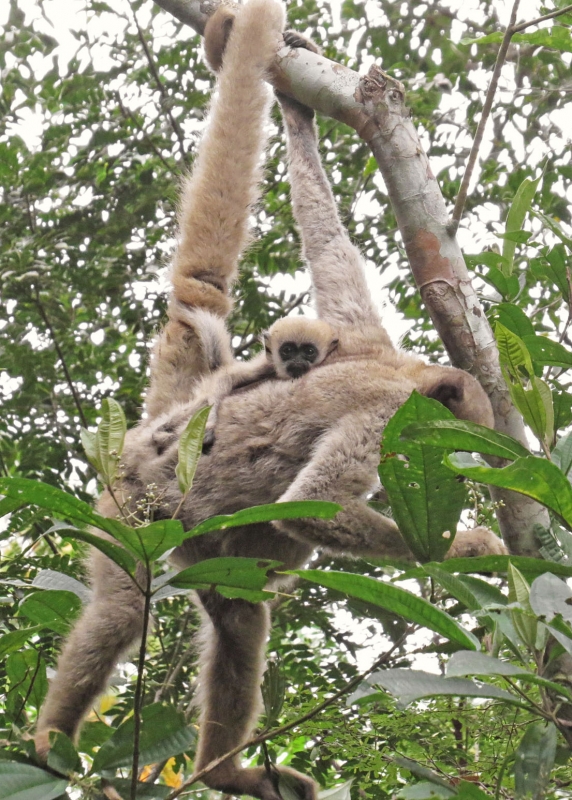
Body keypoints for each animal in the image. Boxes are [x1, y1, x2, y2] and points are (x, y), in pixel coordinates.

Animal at [35, 8, 507, 800]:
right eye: (449, 443)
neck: (400, 372)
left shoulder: (356, 333)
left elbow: (324, 234)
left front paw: (298, 113)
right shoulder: (385, 409)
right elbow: (312, 506)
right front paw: (473, 548)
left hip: (193, 540)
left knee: (237, 614)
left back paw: (223, 771)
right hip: (130, 505)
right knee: (126, 601)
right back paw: (47, 744)